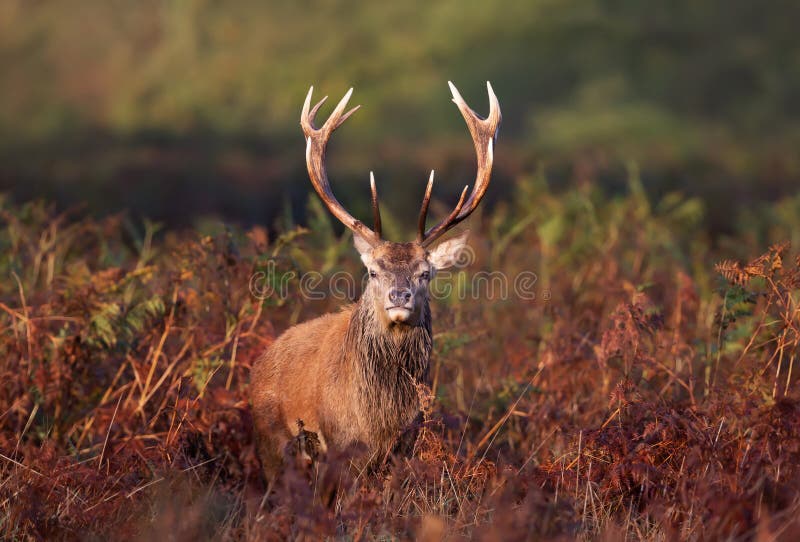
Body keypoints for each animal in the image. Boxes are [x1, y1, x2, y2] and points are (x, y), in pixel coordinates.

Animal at [250, 81, 501, 481]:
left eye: (425, 272)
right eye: (372, 271)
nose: (399, 297)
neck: (378, 420)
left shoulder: (403, 445)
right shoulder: (337, 445)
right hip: (271, 444)